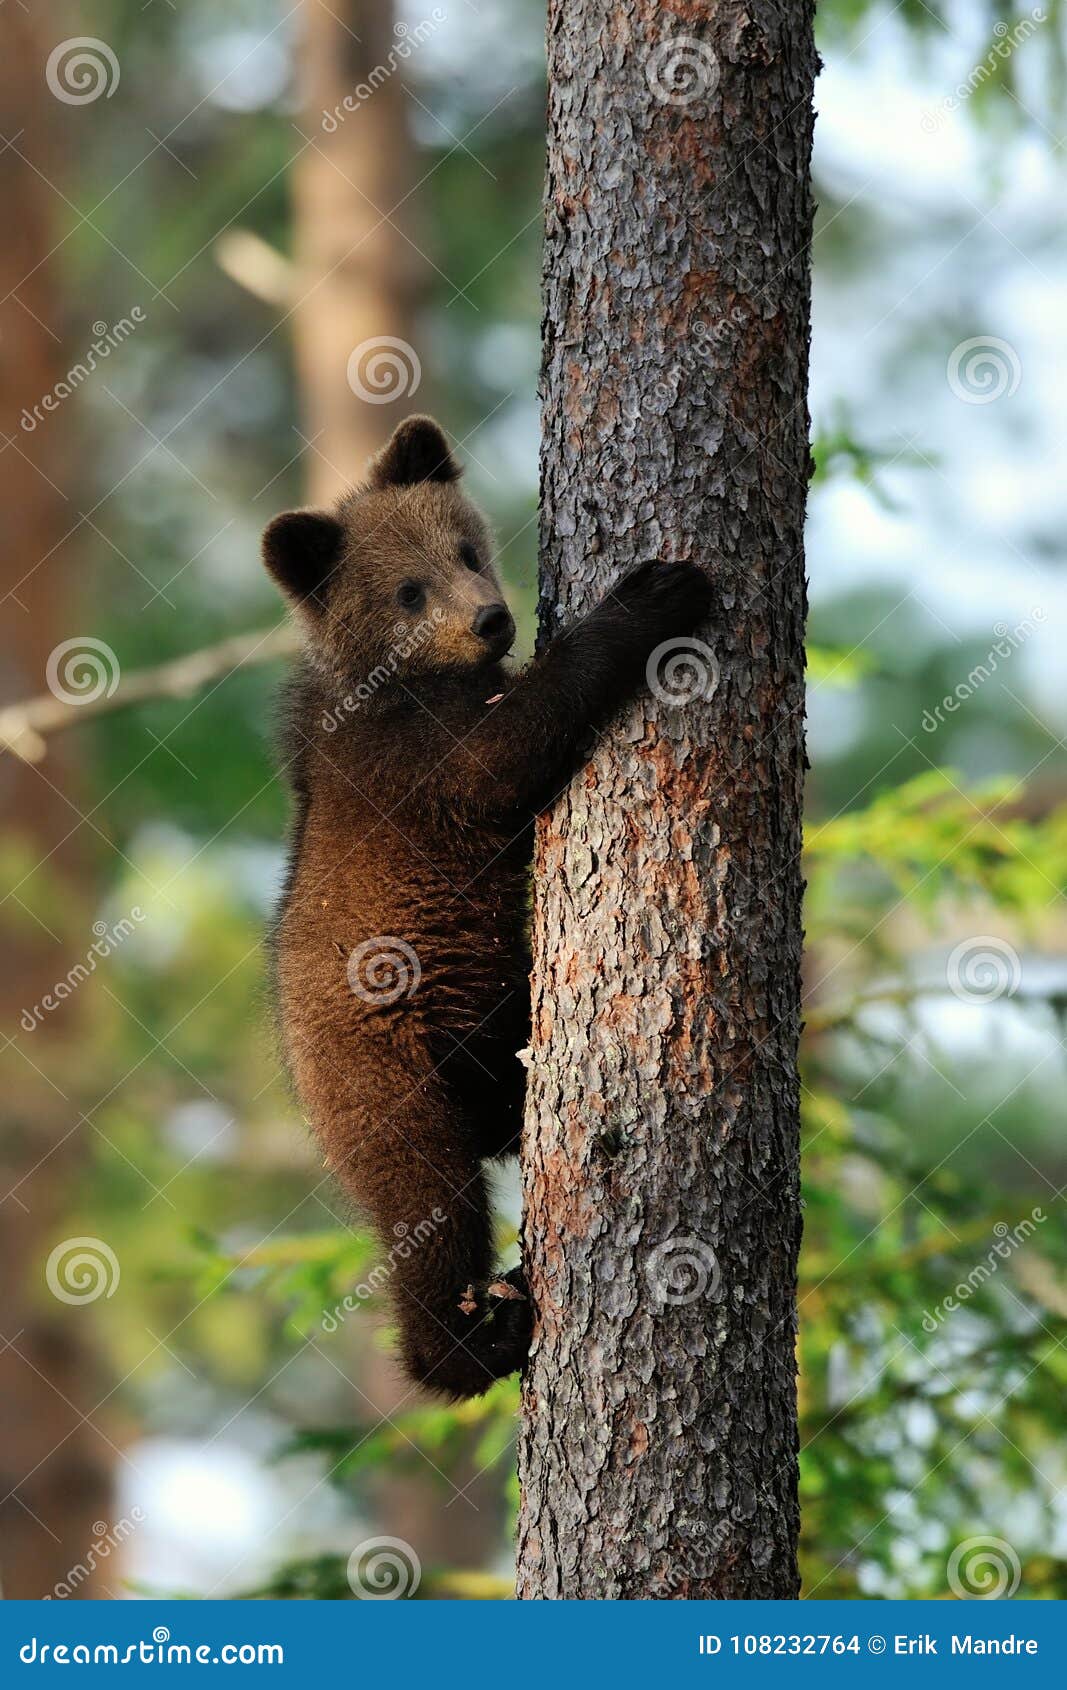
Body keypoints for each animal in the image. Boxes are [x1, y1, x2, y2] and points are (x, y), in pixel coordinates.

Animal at [263, 415, 713, 1400]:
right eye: (407, 589)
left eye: (466, 548)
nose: (490, 617)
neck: (399, 679)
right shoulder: (408, 761)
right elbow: (506, 755)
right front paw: (653, 594)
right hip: (384, 1071)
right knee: (431, 1204)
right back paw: (470, 1340)